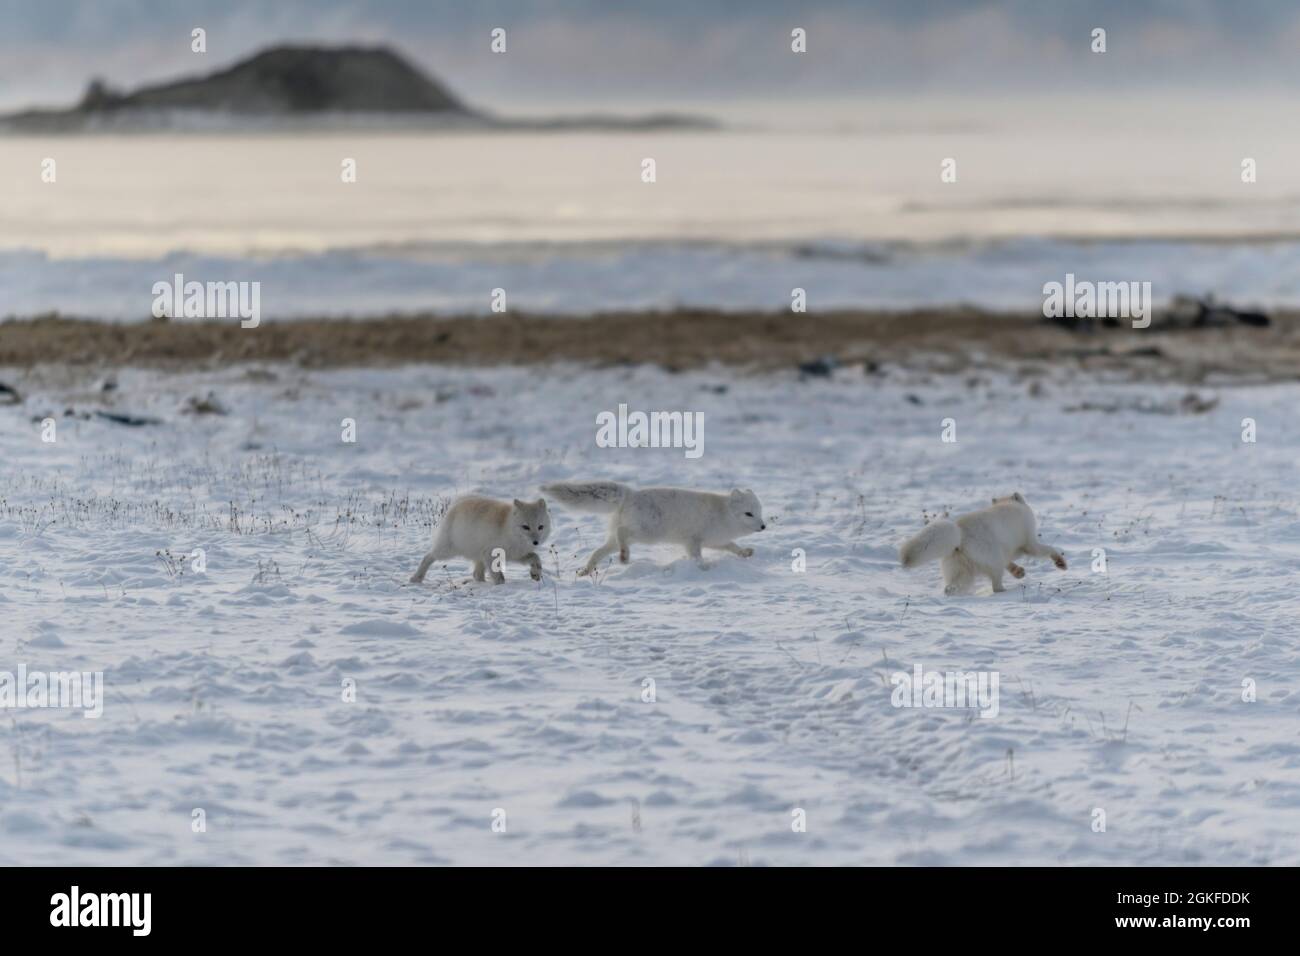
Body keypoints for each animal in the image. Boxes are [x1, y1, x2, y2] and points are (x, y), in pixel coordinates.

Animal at [409, 496, 550, 585]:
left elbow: (535, 557)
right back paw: (416, 578)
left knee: (476, 574)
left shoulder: (515, 554)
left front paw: (536, 573)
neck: (509, 528)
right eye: (525, 527)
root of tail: (456, 504)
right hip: (447, 550)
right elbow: (499, 576)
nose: (536, 542)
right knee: (428, 556)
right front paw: (501, 585)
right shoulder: (491, 554)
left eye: (540, 527)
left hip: (478, 555)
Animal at [541, 481, 765, 575]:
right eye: (748, 514)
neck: (722, 514)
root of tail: (630, 494)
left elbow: (732, 546)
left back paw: (587, 571)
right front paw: (703, 568)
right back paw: (625, 558)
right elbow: (696, 557)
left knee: (599, 550)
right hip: (647, 533)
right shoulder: (693, 541)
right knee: (622, 533)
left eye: (759, 511)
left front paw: (745, 553)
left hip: (618, 540)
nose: (763, 526)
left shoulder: (714, 541)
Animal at [899, 492, 1066, 595]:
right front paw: (1061, 563)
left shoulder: (1008, 551)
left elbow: (1009, 563)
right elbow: (1047, 549)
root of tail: (960, 532)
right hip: (992, 559)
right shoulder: (1029, 542)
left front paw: (1018, 572)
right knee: (996, 584)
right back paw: (1005, 592)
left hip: (962, 570)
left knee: (951, 587)